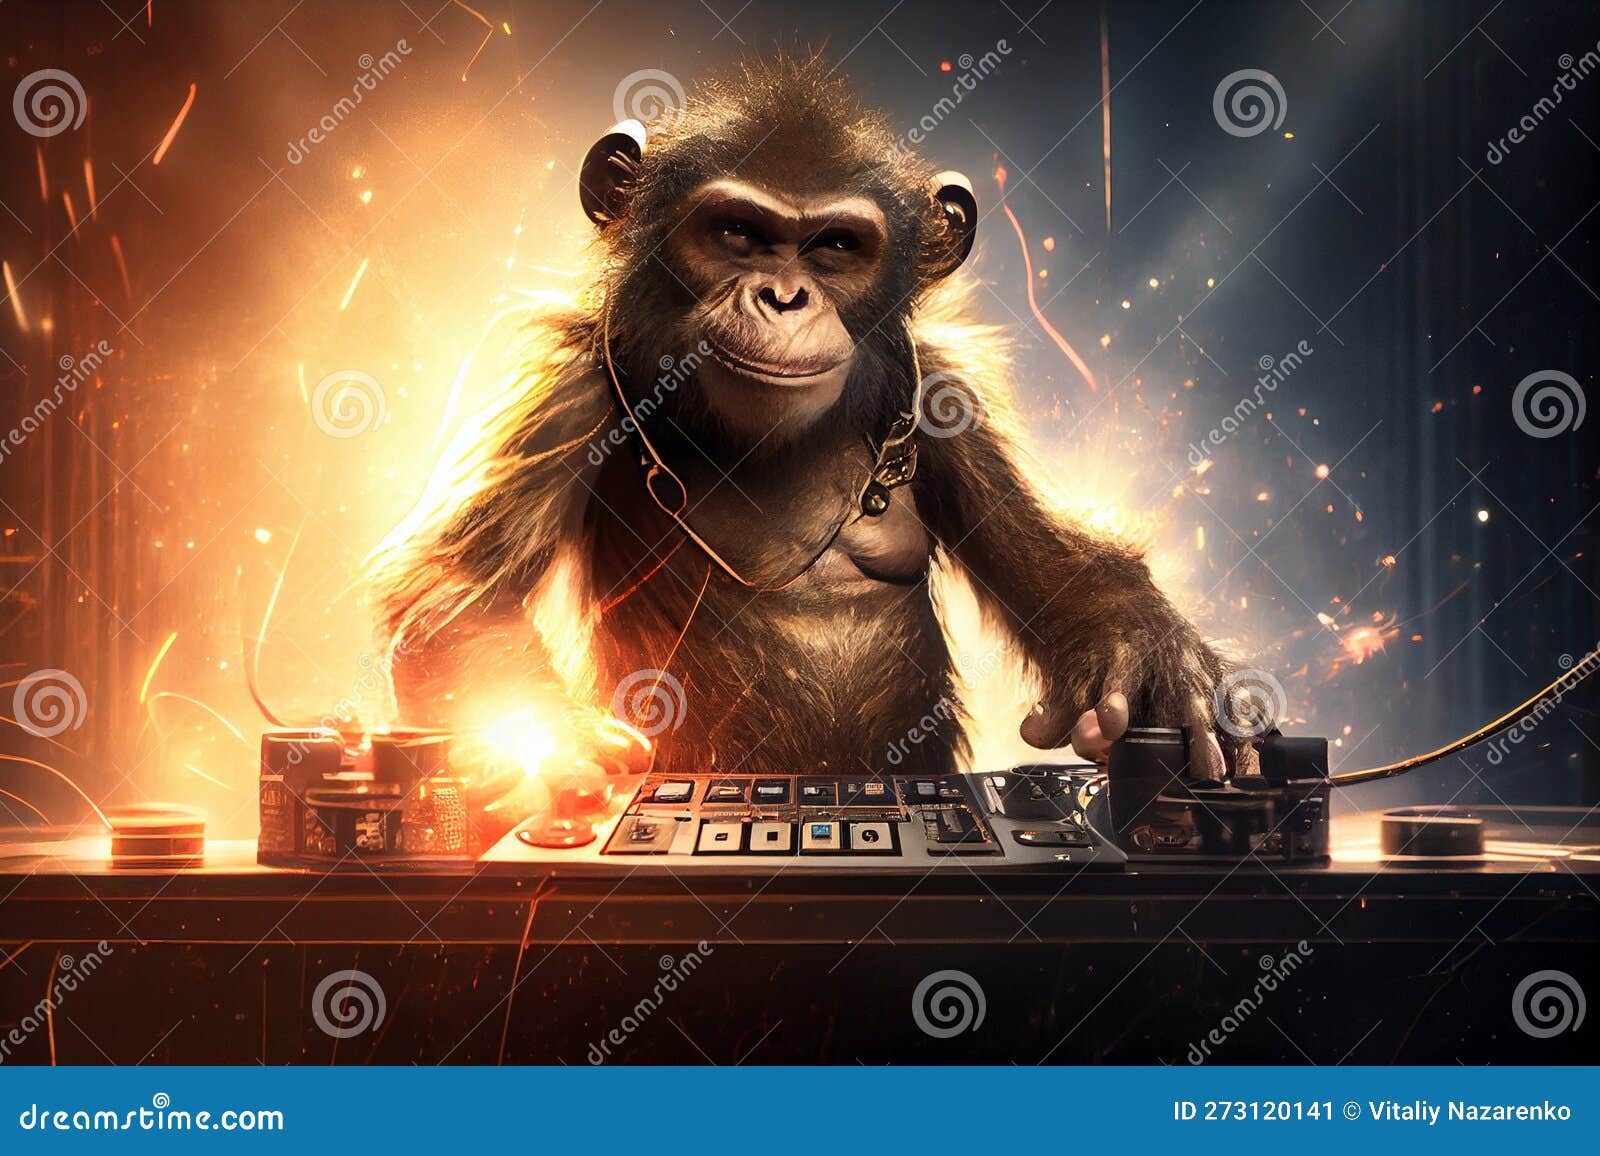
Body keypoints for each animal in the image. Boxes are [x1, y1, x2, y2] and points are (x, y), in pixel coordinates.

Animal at [366, 55, 1242, 787]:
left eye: (836, 246)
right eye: (737, 233)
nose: (784, 297)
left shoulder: (948, 399)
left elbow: (1054, 566)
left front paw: (1146, 656)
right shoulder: (569, 391)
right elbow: (455, 594)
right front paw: (553, 747)